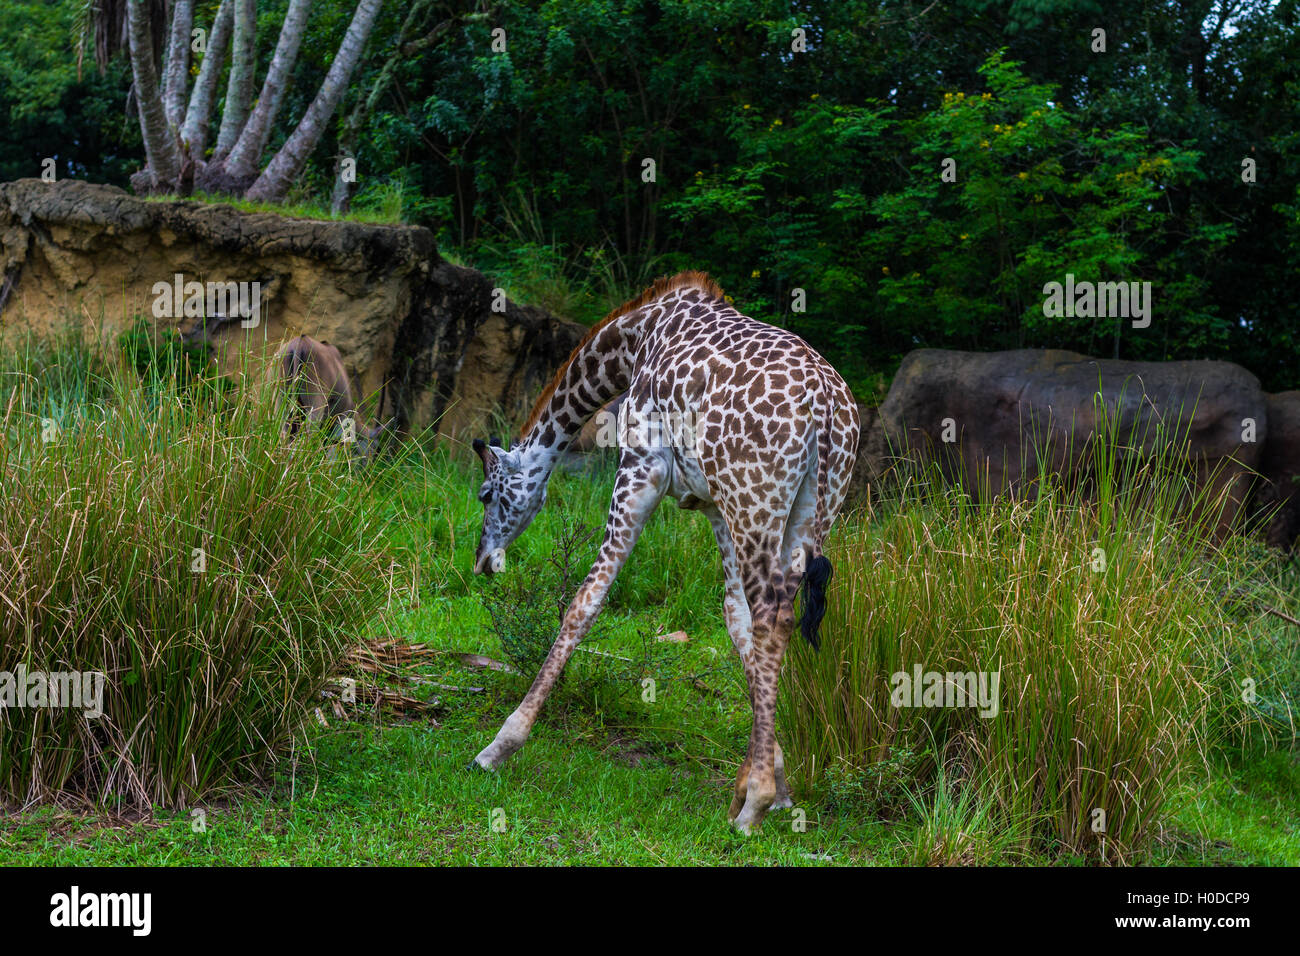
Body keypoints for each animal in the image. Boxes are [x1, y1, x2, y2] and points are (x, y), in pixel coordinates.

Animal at [469, 271, 860, 833]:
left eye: (485, 495)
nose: (482, 559)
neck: (632, 341)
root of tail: (828, 409)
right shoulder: (715, 505)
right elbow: (734, 619)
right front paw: (774, 784)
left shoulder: (641, 467)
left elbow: (586, 600)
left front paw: (499, 746)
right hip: (806, 509)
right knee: (773, 617)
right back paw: (757, 795)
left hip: (756, 500)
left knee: (775, 616)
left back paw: (752, 809)